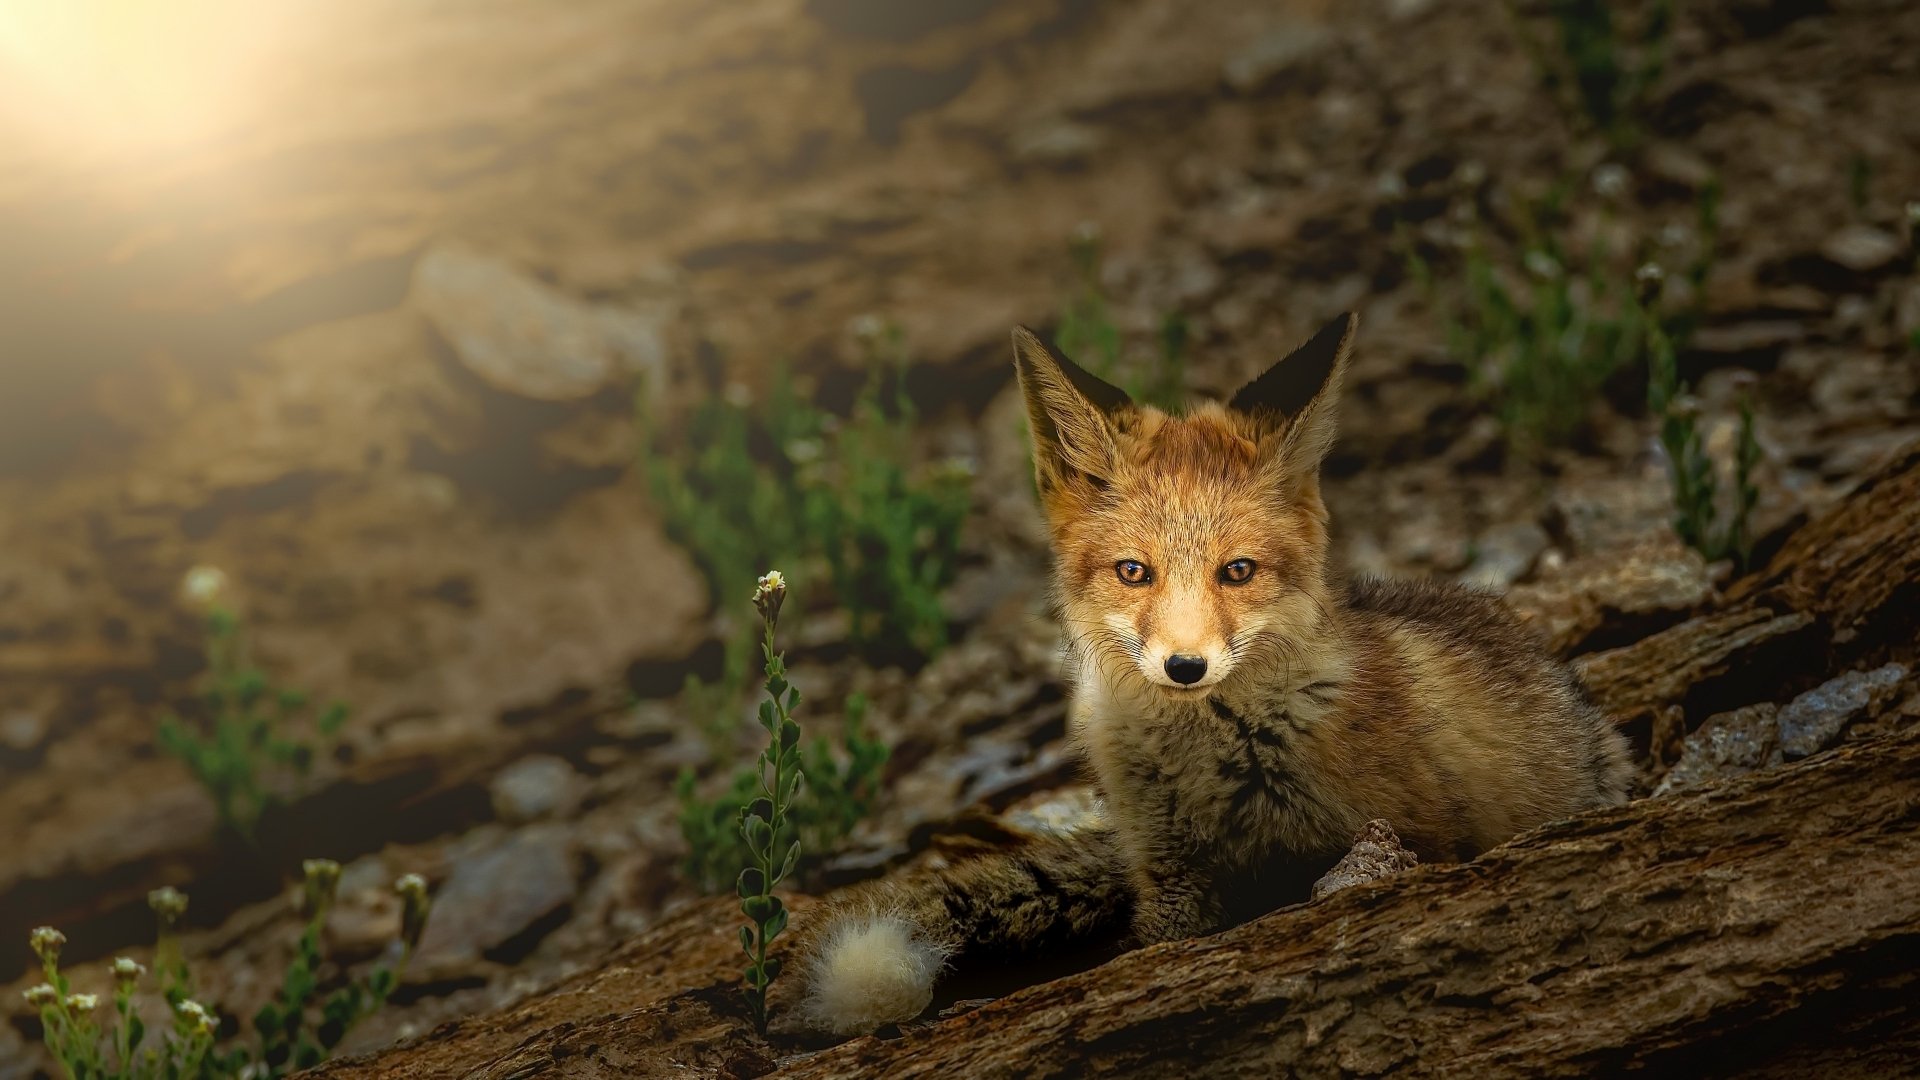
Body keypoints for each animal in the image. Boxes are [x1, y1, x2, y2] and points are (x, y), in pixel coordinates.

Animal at [790, 313, 1633, 1036]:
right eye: (1134, 571)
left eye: (1238, 571)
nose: (1186, 665)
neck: (1215, 762)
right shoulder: (1171, 883)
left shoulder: (1409, 840)